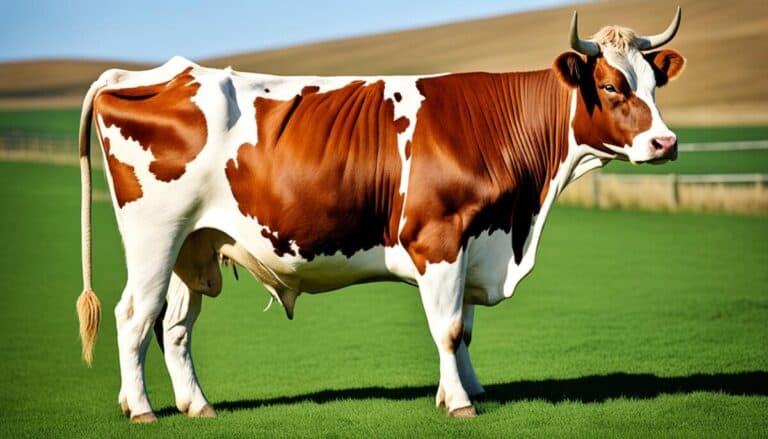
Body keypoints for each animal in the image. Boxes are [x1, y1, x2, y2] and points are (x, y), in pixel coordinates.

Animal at [76, 9, 685, 422]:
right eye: (609, 85)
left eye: (656, 85)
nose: (666, 142)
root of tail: (139, 75)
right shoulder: (439, 238)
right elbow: (448, 327)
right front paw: (460, 403)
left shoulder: (475, 237)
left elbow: (464, 330)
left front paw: (465, 389)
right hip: (156, 236)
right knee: (134, 315)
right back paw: (141, 408)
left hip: (194, 243)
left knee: (175, 326)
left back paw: (197, 406)